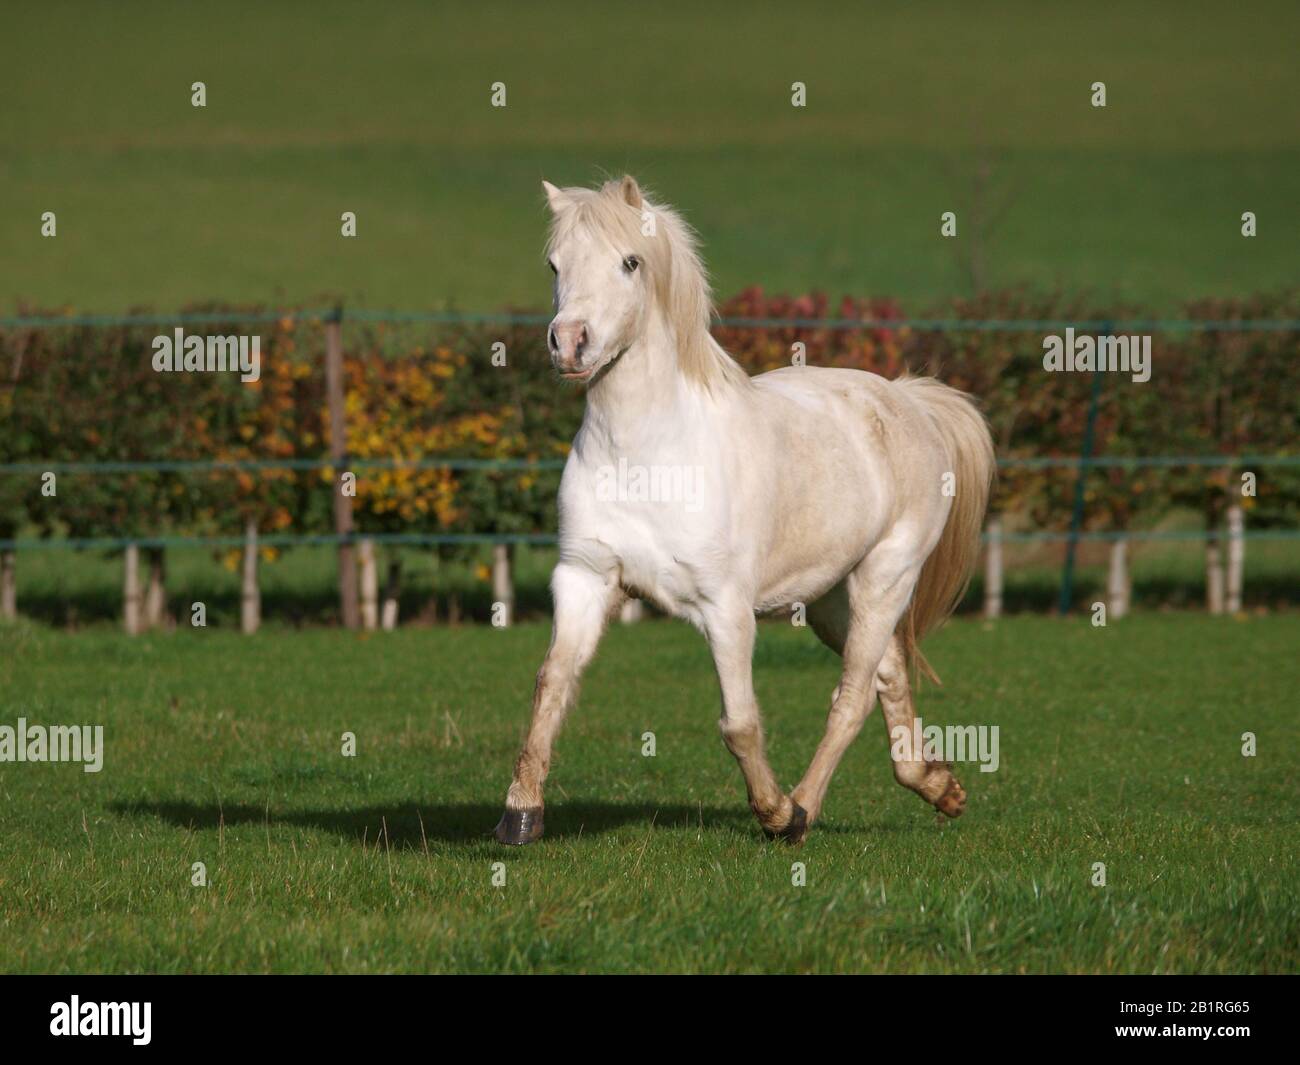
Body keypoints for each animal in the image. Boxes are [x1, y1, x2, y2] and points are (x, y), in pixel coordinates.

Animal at [494, 176, 995, 846]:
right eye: (554, 264)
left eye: (630, 262)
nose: (570, 343)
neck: (649, 456)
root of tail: (911, 401)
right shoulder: (583, 579)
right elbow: (550, 686)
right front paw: (520, 814)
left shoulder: (724, 606)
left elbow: (739, 722)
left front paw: (775, 811)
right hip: (834, 599)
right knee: (886, 676)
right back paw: (939, 787)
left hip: (886, 577)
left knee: (851, 698)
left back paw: (802, 810)